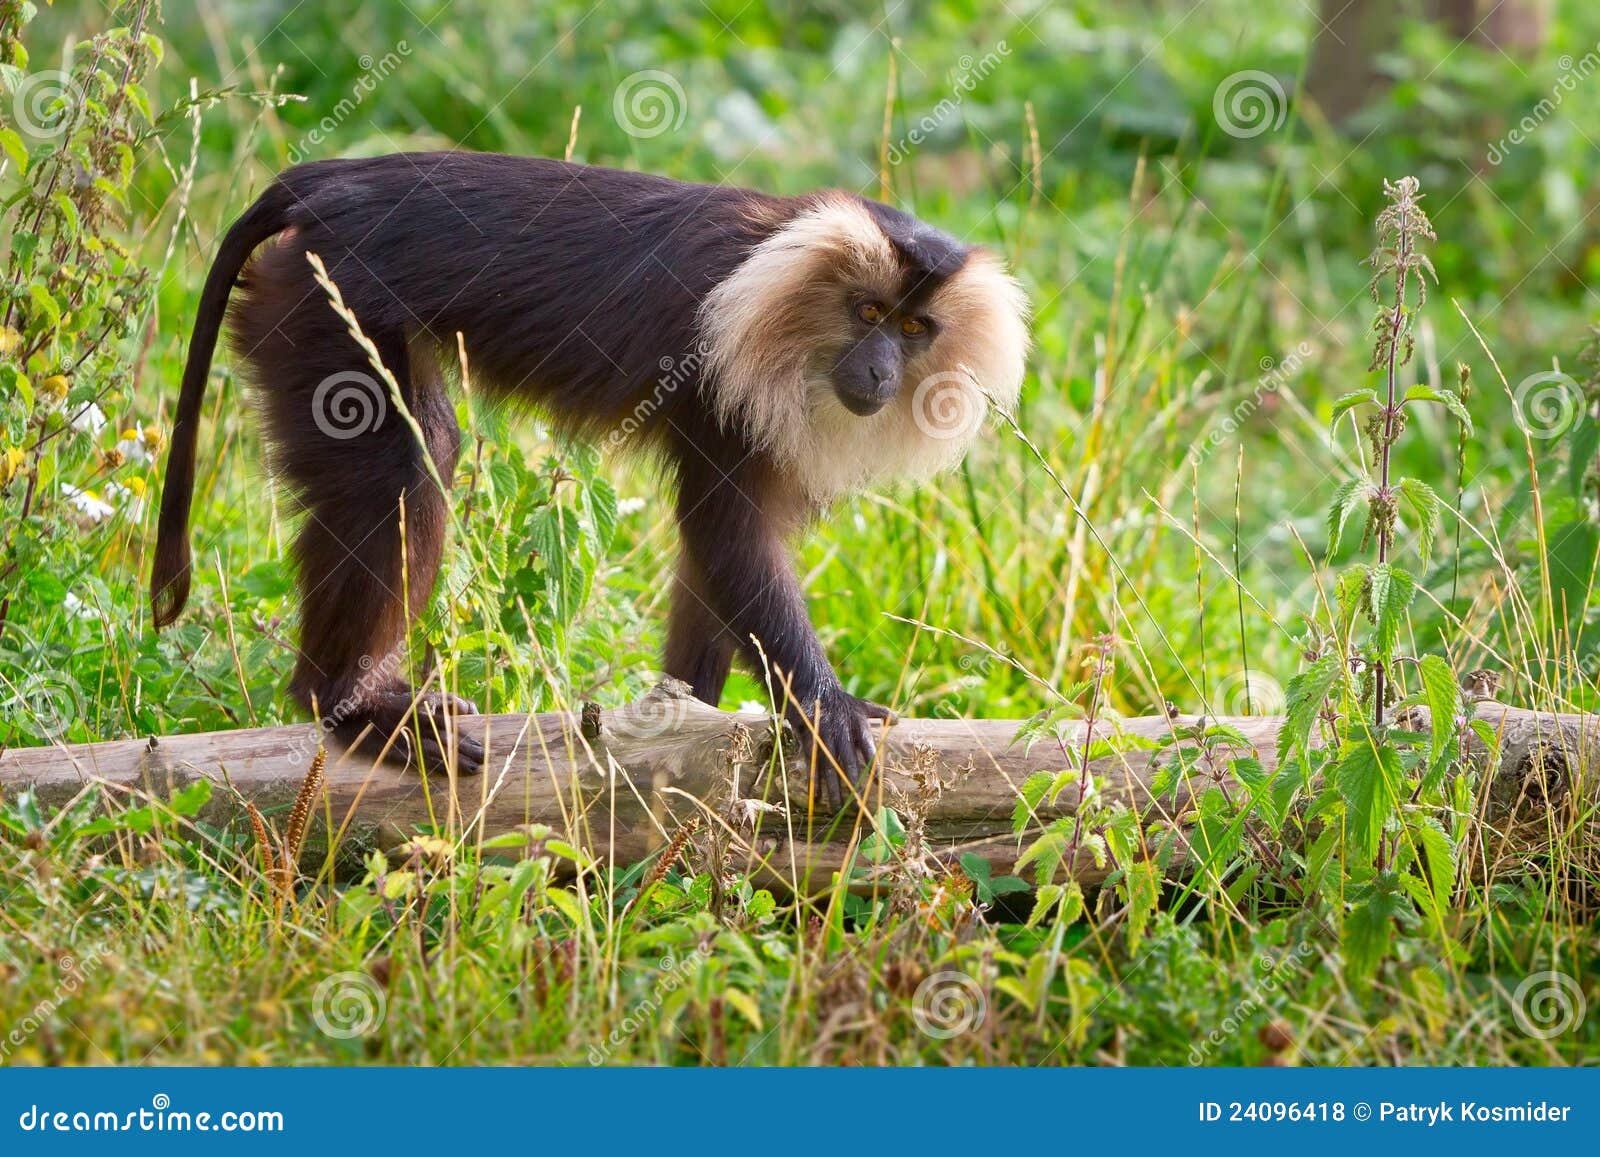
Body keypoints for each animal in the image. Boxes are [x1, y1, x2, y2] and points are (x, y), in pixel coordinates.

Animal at [150, 152, 1028, 806]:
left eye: (914, 329)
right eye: (869, 314)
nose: (880, 370)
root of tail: (330, 181)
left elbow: (718, 559)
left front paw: (691, 718)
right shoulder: (722, 369)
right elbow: (727, 530)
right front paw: (823, 706)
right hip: (322, 296)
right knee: (406, 459)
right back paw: (348, 703)